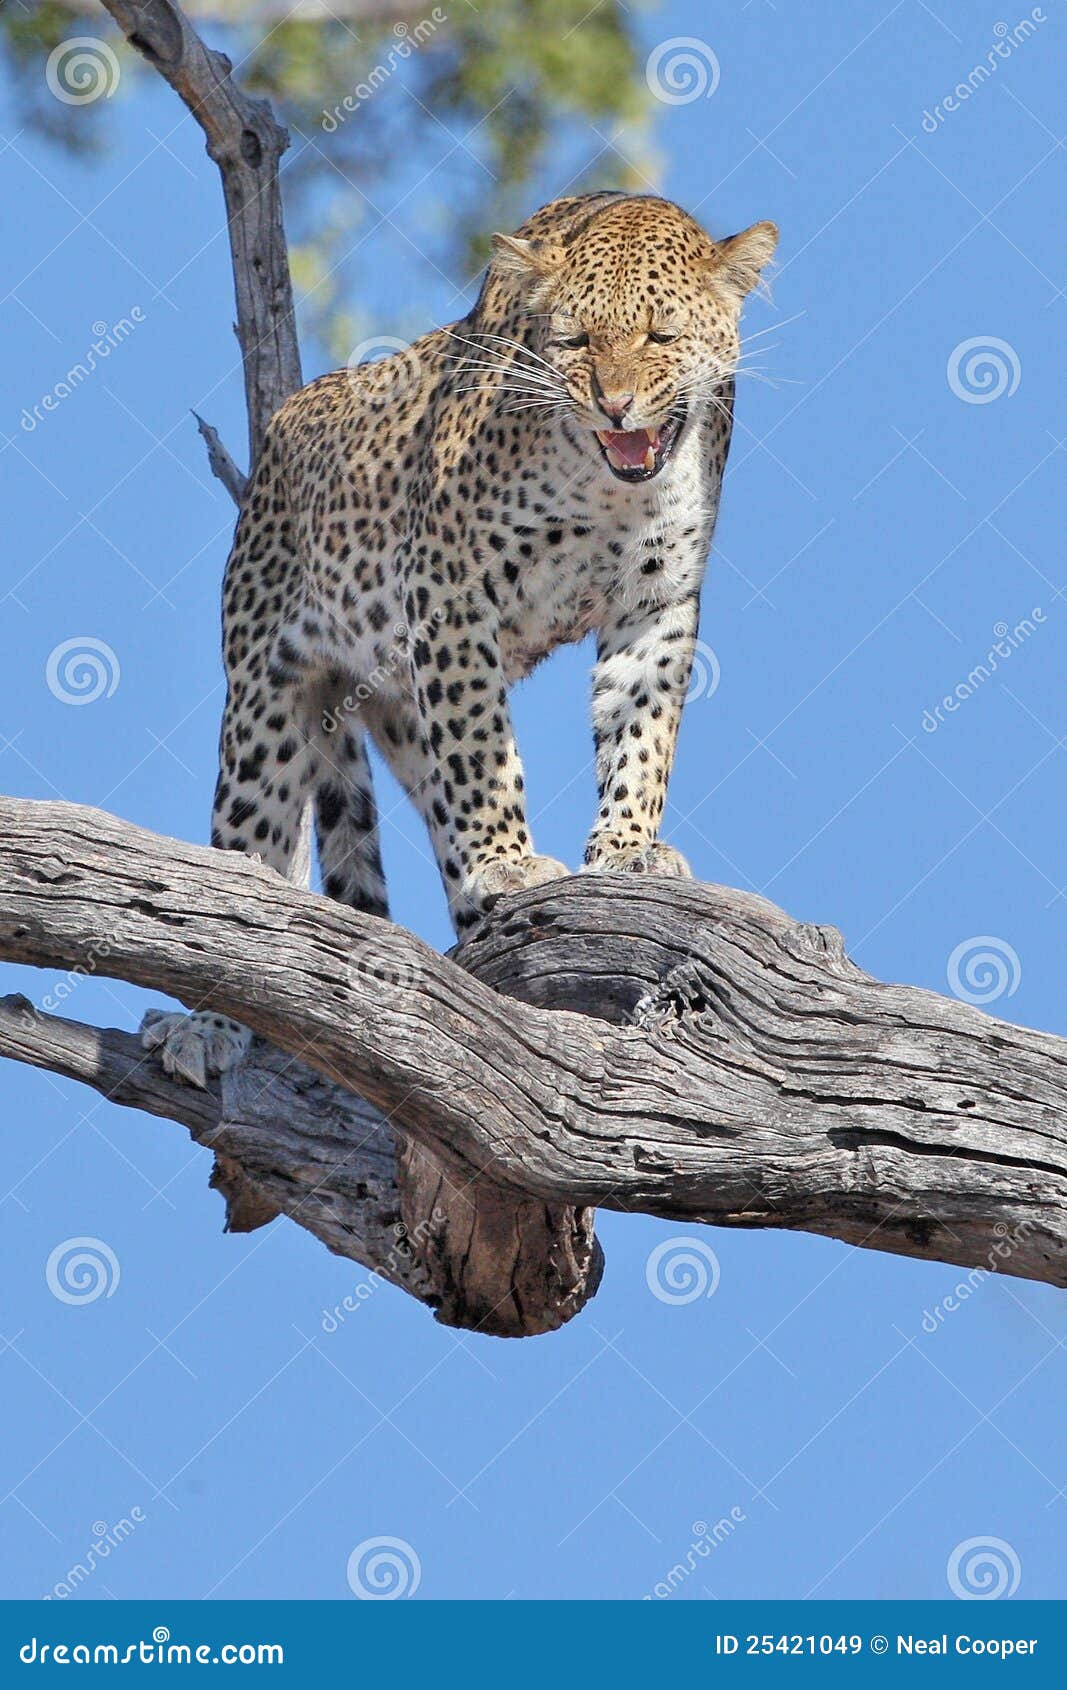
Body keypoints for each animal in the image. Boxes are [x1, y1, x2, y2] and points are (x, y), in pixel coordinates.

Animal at [144, 190, 777, 1087]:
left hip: (402, 709)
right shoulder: (448, 593)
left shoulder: (655, 604)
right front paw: (508, 861)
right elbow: (482, 749)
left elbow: (641, 733)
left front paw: (627, 849)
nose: (615, 405)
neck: (610, 492)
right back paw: (211, 1022)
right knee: (248, 849)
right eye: (574, 342)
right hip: (266, 694)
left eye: (661, 337)